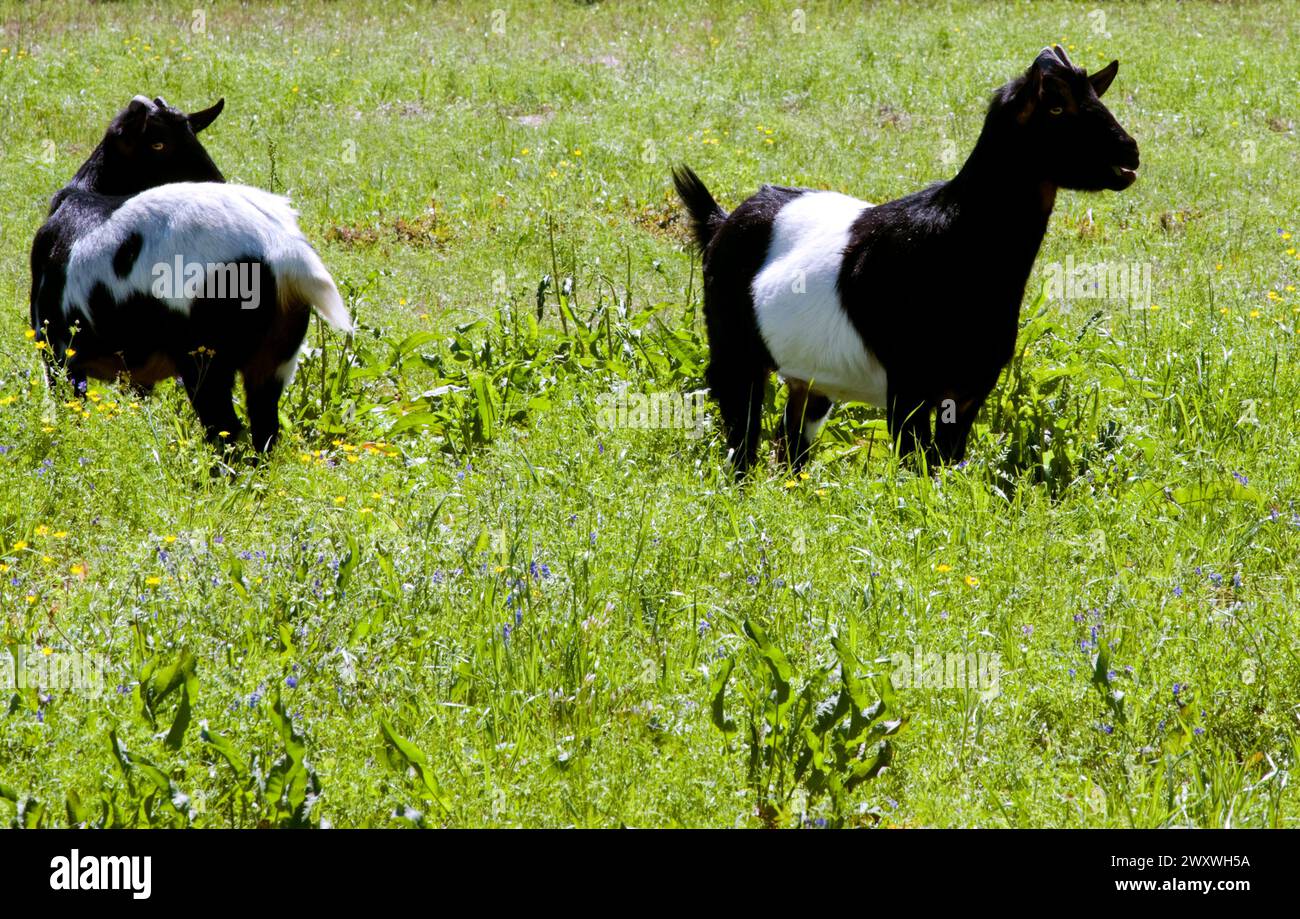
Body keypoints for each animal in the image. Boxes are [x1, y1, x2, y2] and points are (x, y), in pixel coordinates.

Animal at [30, 96, 351, 453]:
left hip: (204, 359)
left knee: (225, 430)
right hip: (275, 357)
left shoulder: (57, 347)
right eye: (159, 143)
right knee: (264, 431)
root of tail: (281, 249)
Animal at [673, 46, 1139, 476]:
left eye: (1096, 96)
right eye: (1056, 106)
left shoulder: (969, 390)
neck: (957, 237)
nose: (1130, 152)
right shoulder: (907, 386)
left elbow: (945, 462)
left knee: (792, 441)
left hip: (808, 378)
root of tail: (721, 222)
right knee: (741, 433)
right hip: (733, 351)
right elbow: (918, 463)